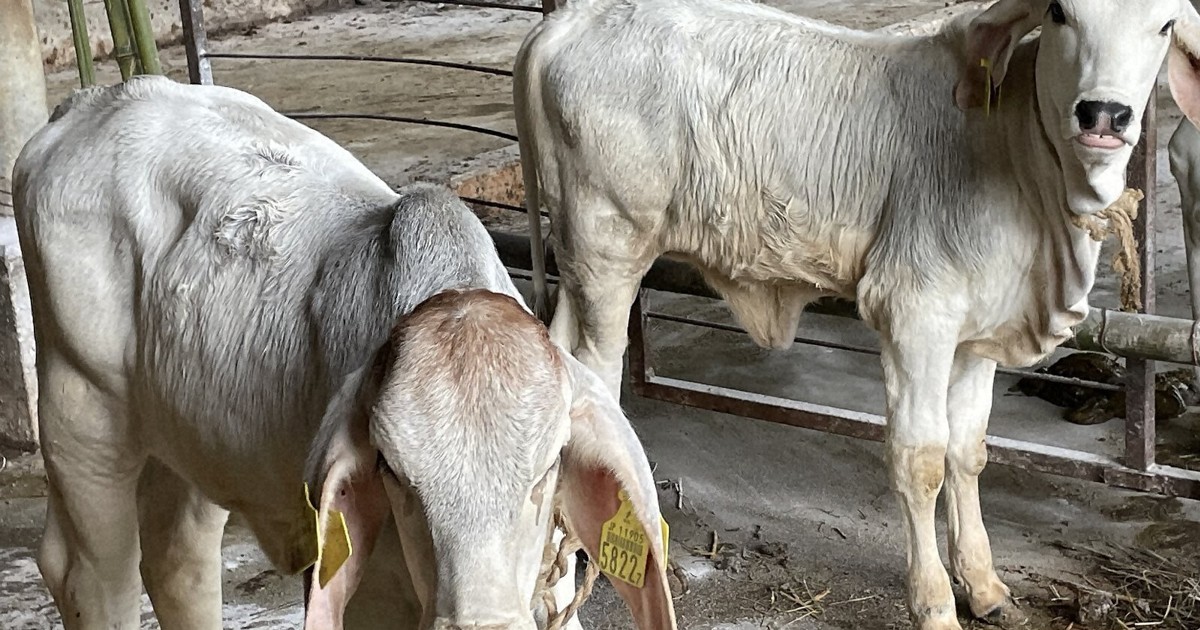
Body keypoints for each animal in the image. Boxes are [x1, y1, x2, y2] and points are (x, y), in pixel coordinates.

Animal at [12, 75, 673, 630]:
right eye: (393, 471)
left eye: (547, 469)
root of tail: (92, 102)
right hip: (81, 406)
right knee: (91, 575)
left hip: (193, 436)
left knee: (176, 559)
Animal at [513, 0, 1200, 628]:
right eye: (1060, 12)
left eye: (1165, 24)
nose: (1104, 114)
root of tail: (571, 20)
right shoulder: (915, 311)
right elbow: (921, 460)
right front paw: (935, 605)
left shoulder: (980, 332)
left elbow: (969, 450)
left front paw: (985, 586)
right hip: (609, 253)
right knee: (598, 385)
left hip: (580, 269)